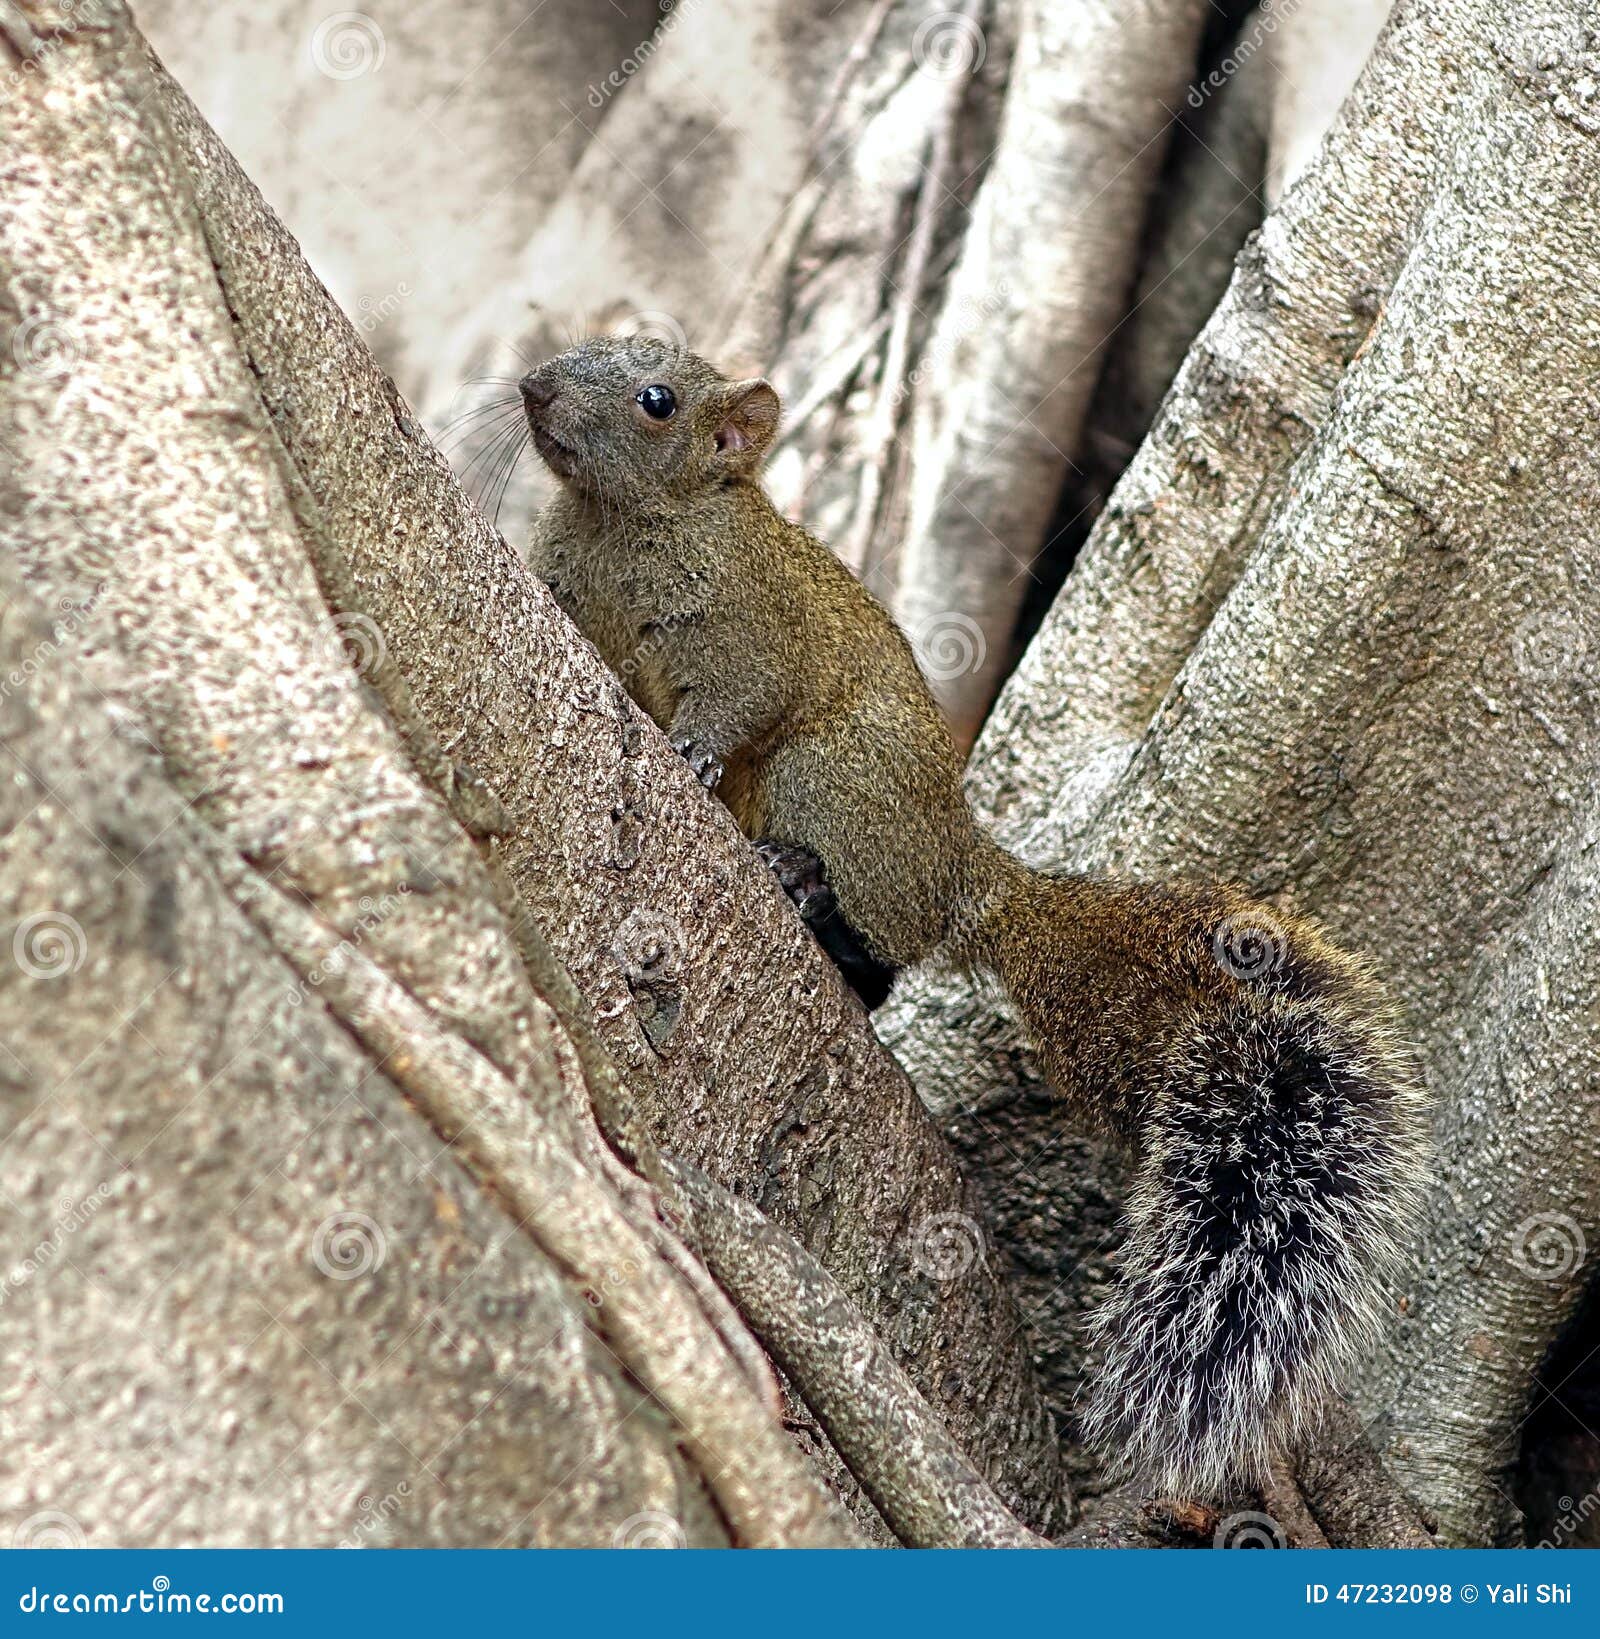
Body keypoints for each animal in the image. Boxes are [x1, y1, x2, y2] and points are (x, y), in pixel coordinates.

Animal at [519, 334, 1427, 1500]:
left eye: (656, 400)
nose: (533, 388)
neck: (624, 528)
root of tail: (964, 872)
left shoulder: (749, 628)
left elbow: (738, 700)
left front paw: (692, 753)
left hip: (834, 778)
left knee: (881, 939)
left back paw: (802, 883)